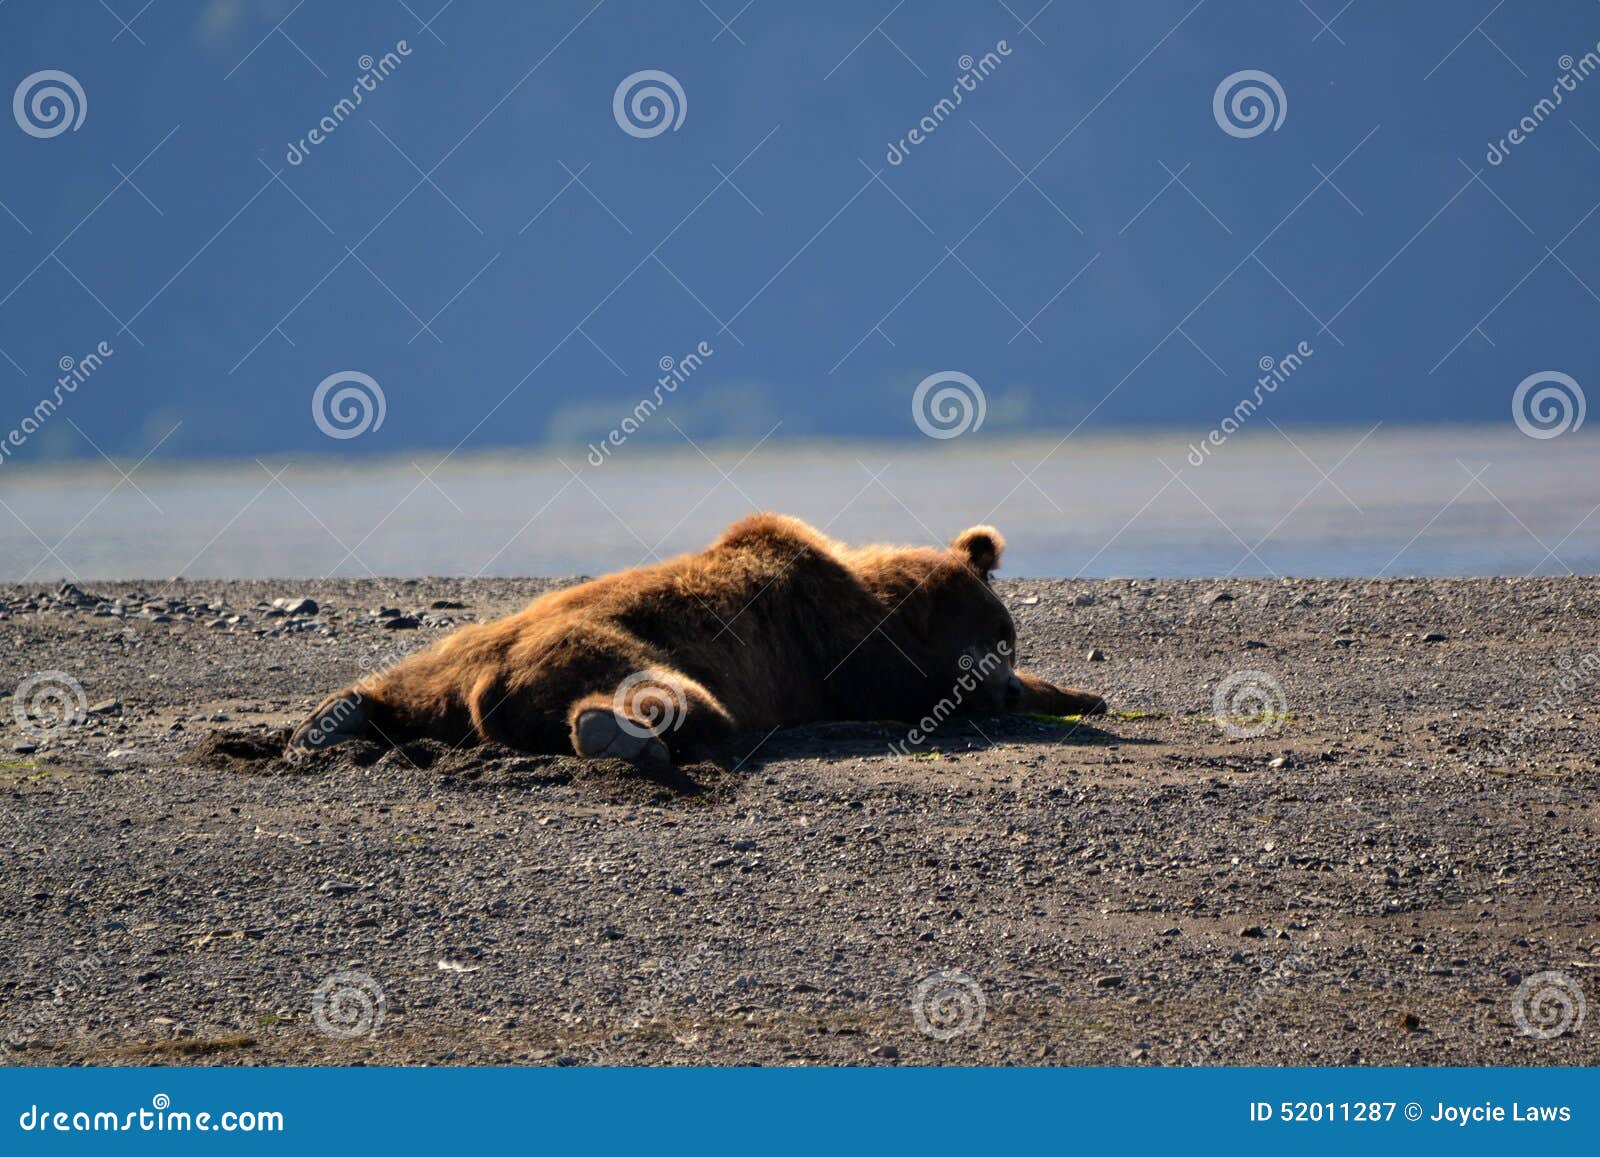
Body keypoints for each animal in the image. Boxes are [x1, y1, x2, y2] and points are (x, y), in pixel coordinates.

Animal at [288, 513, 1106, 767]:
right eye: (999, 640)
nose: (1006, 679)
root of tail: (483, 684)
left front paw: (1084, 694)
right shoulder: (850, 653)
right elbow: (914, 695)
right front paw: (1073, 694)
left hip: (459, 652)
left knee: (405, 678)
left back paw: (329, 720)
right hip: (606, 646)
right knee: (676, 697)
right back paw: (619, 732)